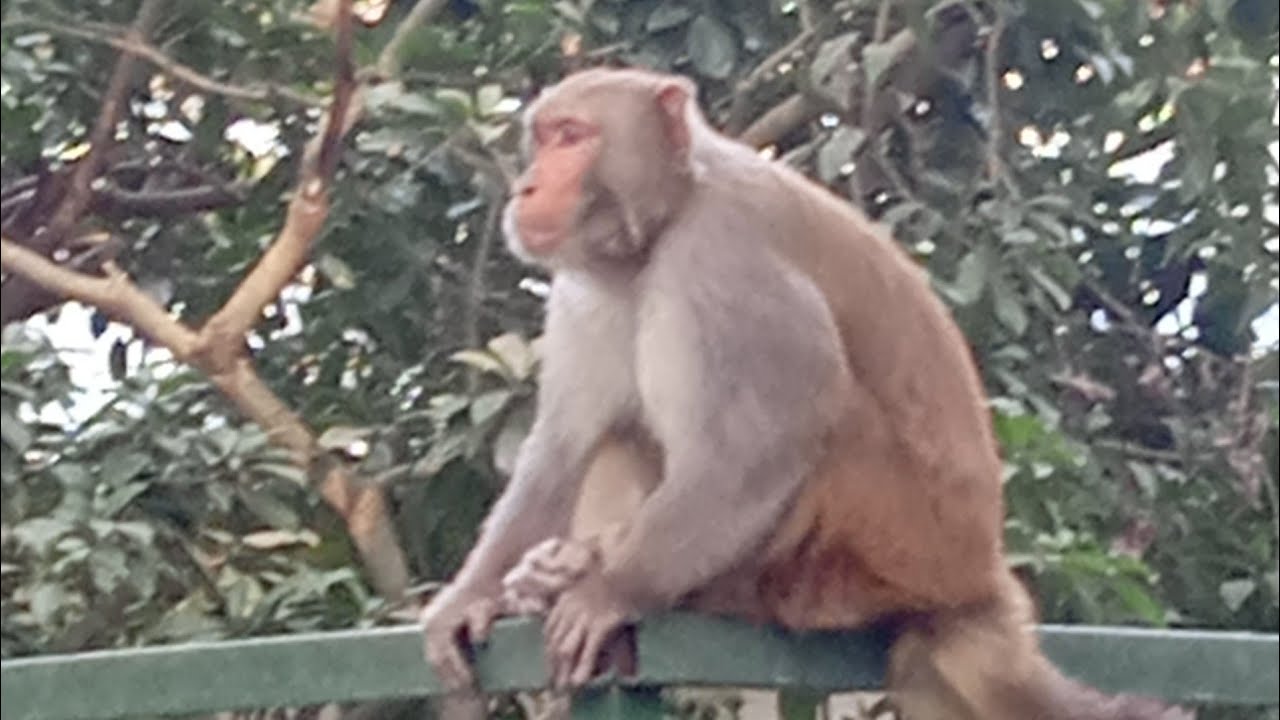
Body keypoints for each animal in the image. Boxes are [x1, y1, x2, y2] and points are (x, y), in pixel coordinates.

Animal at [419, 67, 1192, 720]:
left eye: (574, 138)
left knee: (823, 408)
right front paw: (470, 596)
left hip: (869, 548)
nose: (526, 187)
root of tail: (975, 577)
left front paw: (613, 588)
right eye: (544, 137)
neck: (663, 224)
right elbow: (566, 444)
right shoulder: (585, 290)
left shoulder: (726, 258)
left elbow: (766, 443)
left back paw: (655, 580)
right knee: (620, 437)